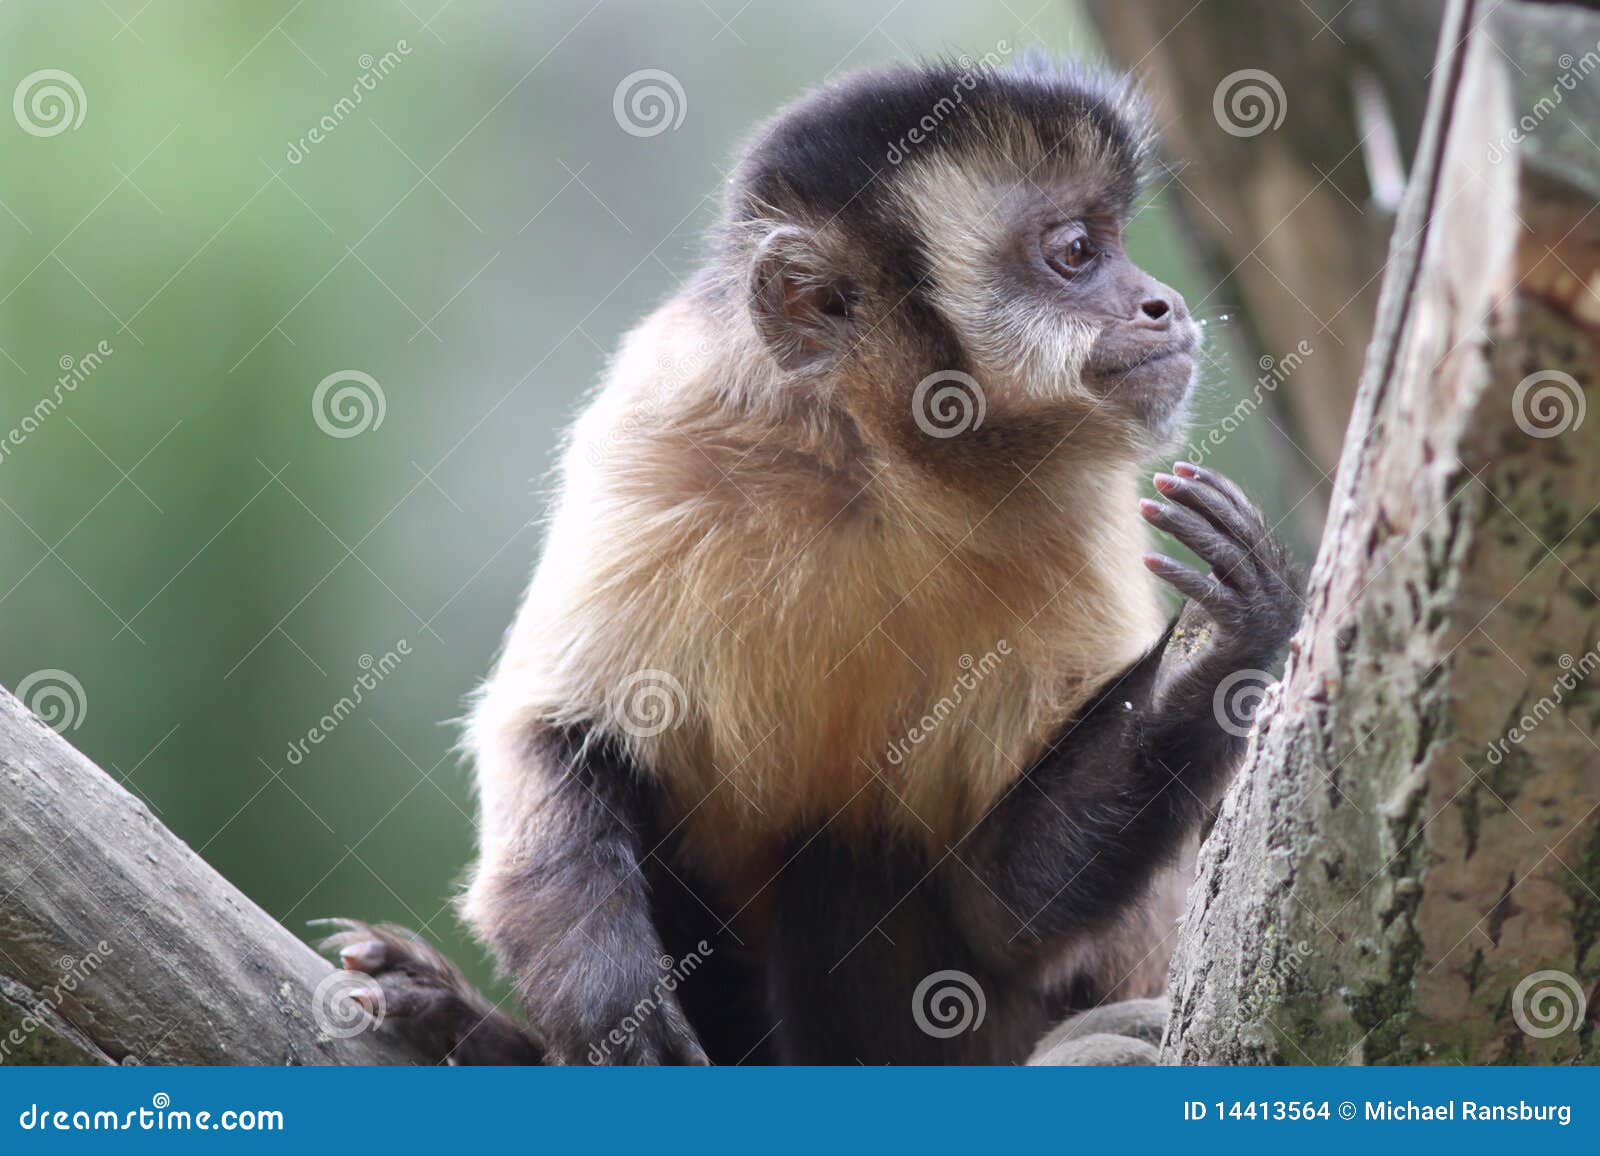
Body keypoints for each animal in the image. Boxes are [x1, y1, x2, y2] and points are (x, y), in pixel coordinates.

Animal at [325, 54, 1301, 1065]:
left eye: (1109, 242)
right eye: (1075, 250)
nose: (1164, 303)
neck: (877, 464)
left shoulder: (1084, 511)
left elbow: (1000, 908)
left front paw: (1219, 643)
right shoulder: (664, 421)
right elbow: (555, 730)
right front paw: (614, 1009)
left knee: (855, 849)